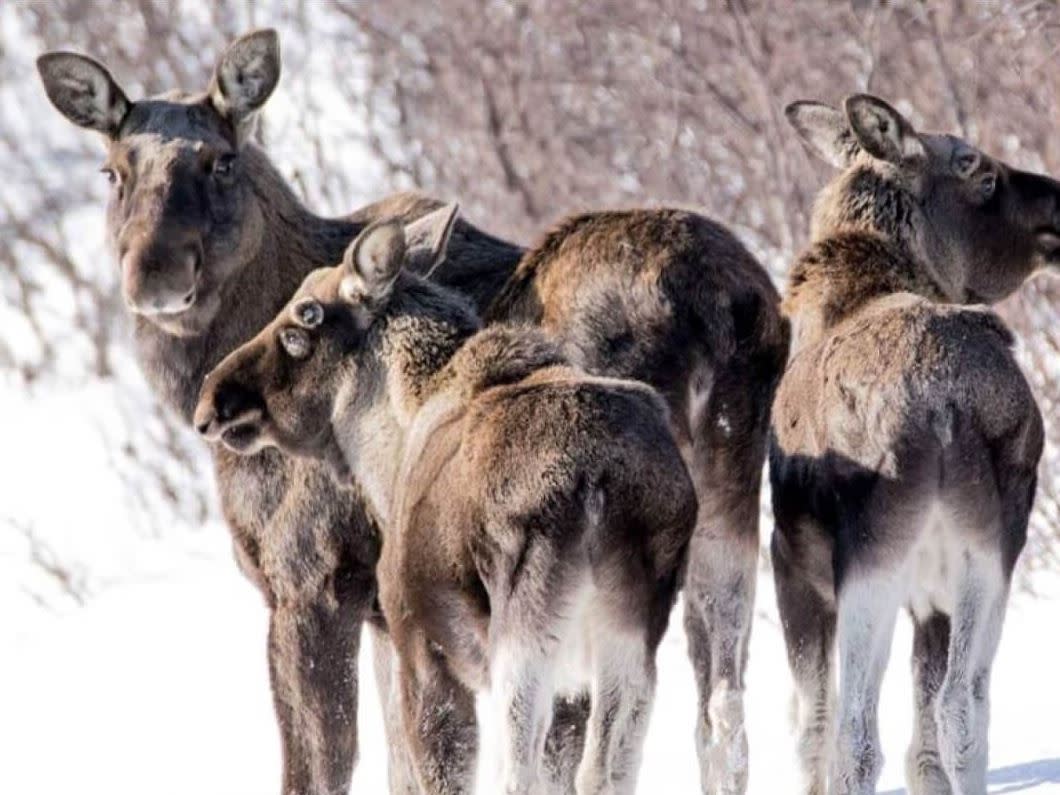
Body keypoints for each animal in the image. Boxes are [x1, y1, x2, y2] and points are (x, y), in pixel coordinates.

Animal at [36, 29, 528, 795]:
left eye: (221, 160)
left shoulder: (311, 582)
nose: (155, 274)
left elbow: (319, 768)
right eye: (112, 170)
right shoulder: (379, 612)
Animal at [194, 204, 699, 795]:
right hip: (631, 636)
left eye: (303, 322)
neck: (386, 450)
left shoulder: (417, 641)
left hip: (526, 631)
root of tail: (596, 485)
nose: (213, 401)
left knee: (517, 771)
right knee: (607, 768)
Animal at [772, 93, 1057, 795]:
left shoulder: (791, 561)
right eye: (982, 172)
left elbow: (813, 731)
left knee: (858, 735)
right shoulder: (931, 590)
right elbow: (925, 741)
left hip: (872, 557)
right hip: (989, 549)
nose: (1059, 199)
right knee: (965, 705)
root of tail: (941, 408)